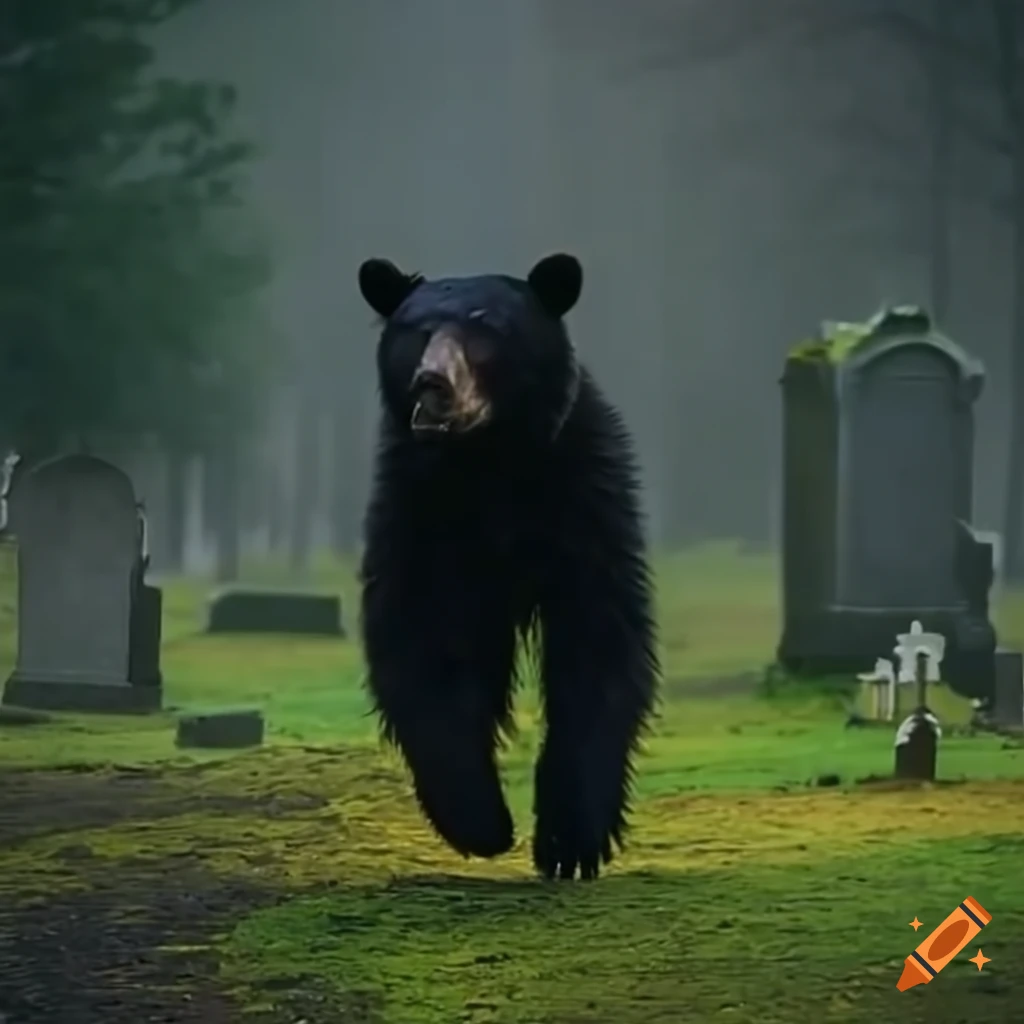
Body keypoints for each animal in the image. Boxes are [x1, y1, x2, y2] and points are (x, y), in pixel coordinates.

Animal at [356, 252, 659, 881]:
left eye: (486, 328)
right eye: (416, 331)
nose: (433, 382)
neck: (488, 464)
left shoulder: (582, 501)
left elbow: (595, 642)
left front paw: (571, 842)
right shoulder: (421, 512)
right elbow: (422, 642)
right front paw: (481, 821)